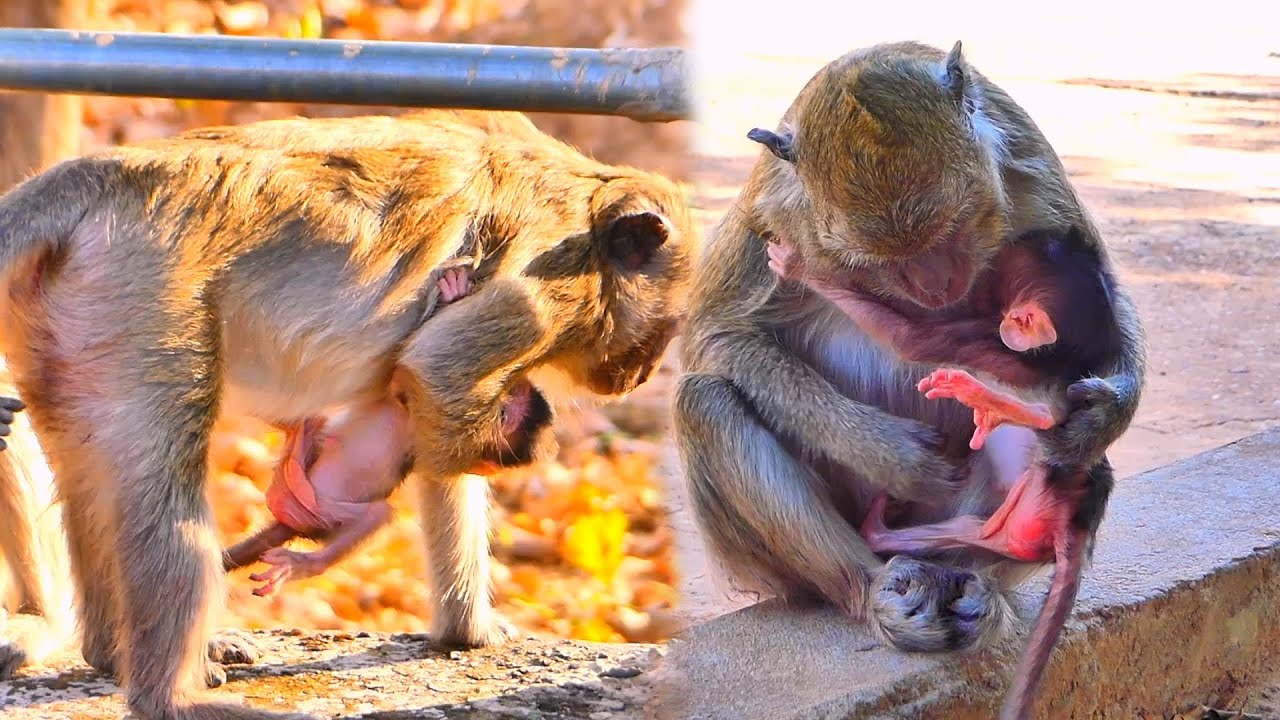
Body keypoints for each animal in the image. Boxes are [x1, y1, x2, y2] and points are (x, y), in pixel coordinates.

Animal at [0, 108, 692, 720]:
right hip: (144, 297)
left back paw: (108, 653)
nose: (642, 375)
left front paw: (467, 631)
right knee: (165, 482)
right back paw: (169, 699)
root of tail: (98, 176)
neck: (585, 204)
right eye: (667, 329)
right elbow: (436, 379)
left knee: (85, 465)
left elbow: (433, 412)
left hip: (63, 320)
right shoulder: (547, 297)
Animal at [672, 41, 1144, 720]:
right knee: (704, 399)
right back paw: (870, 587)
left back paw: (979, 586)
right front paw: (897, 457)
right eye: (884, 260)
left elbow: (1103, 294)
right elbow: (717, 335)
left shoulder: (1031, 160)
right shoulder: (773, 207)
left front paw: (1100, 416)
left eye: (951, 230)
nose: (935, 285)